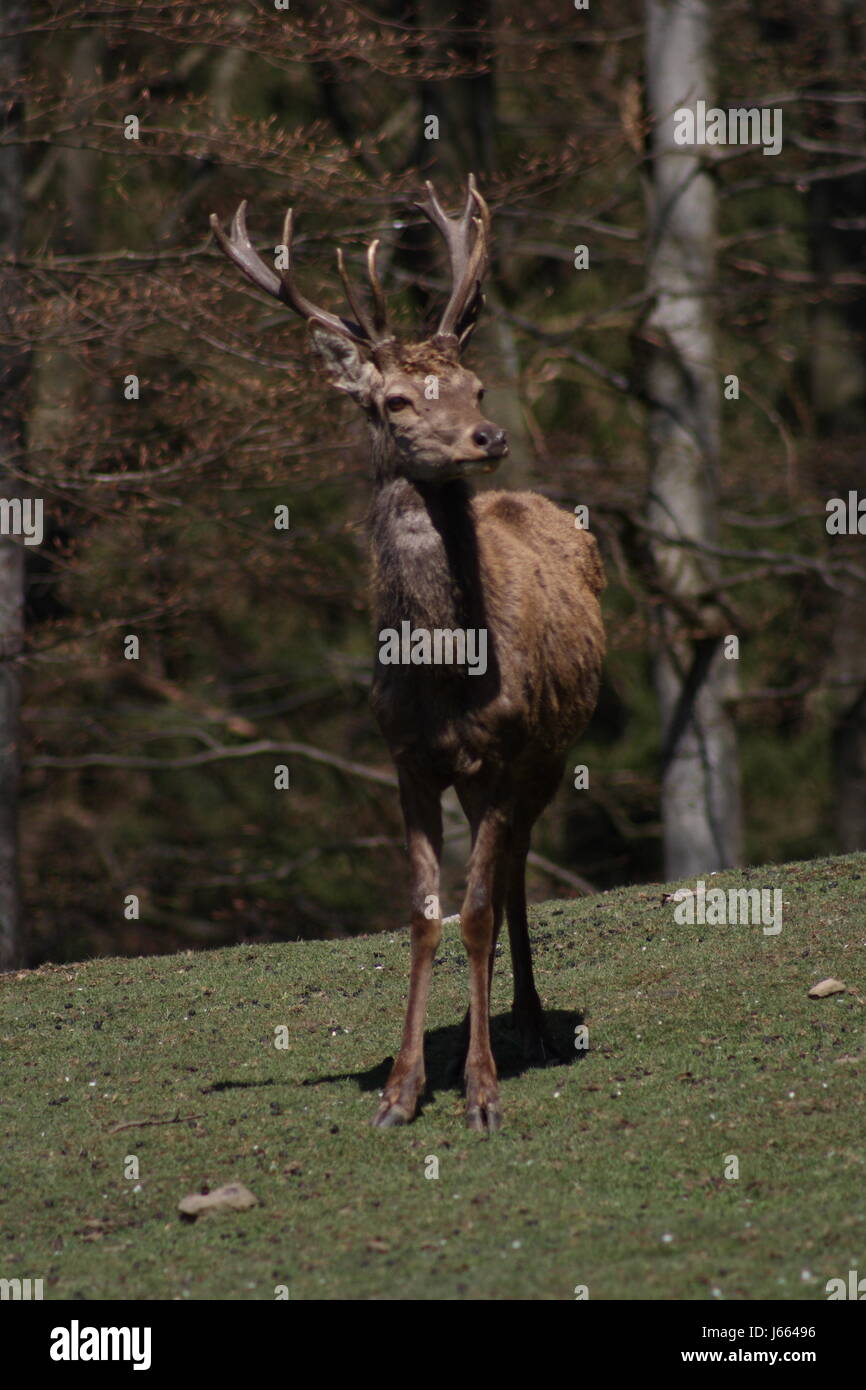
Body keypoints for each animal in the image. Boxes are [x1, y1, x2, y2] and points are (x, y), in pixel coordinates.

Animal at [209, 177, 605, 1132]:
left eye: (474, 384)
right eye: (393, 401)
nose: (487, 437)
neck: (444, 673)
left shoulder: (502, 754)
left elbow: (474, 912)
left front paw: (481, 1091)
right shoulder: (407, 758)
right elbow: (427, 914)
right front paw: (400, 1089)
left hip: (549, 753)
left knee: (512, 877)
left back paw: (530, 1021)